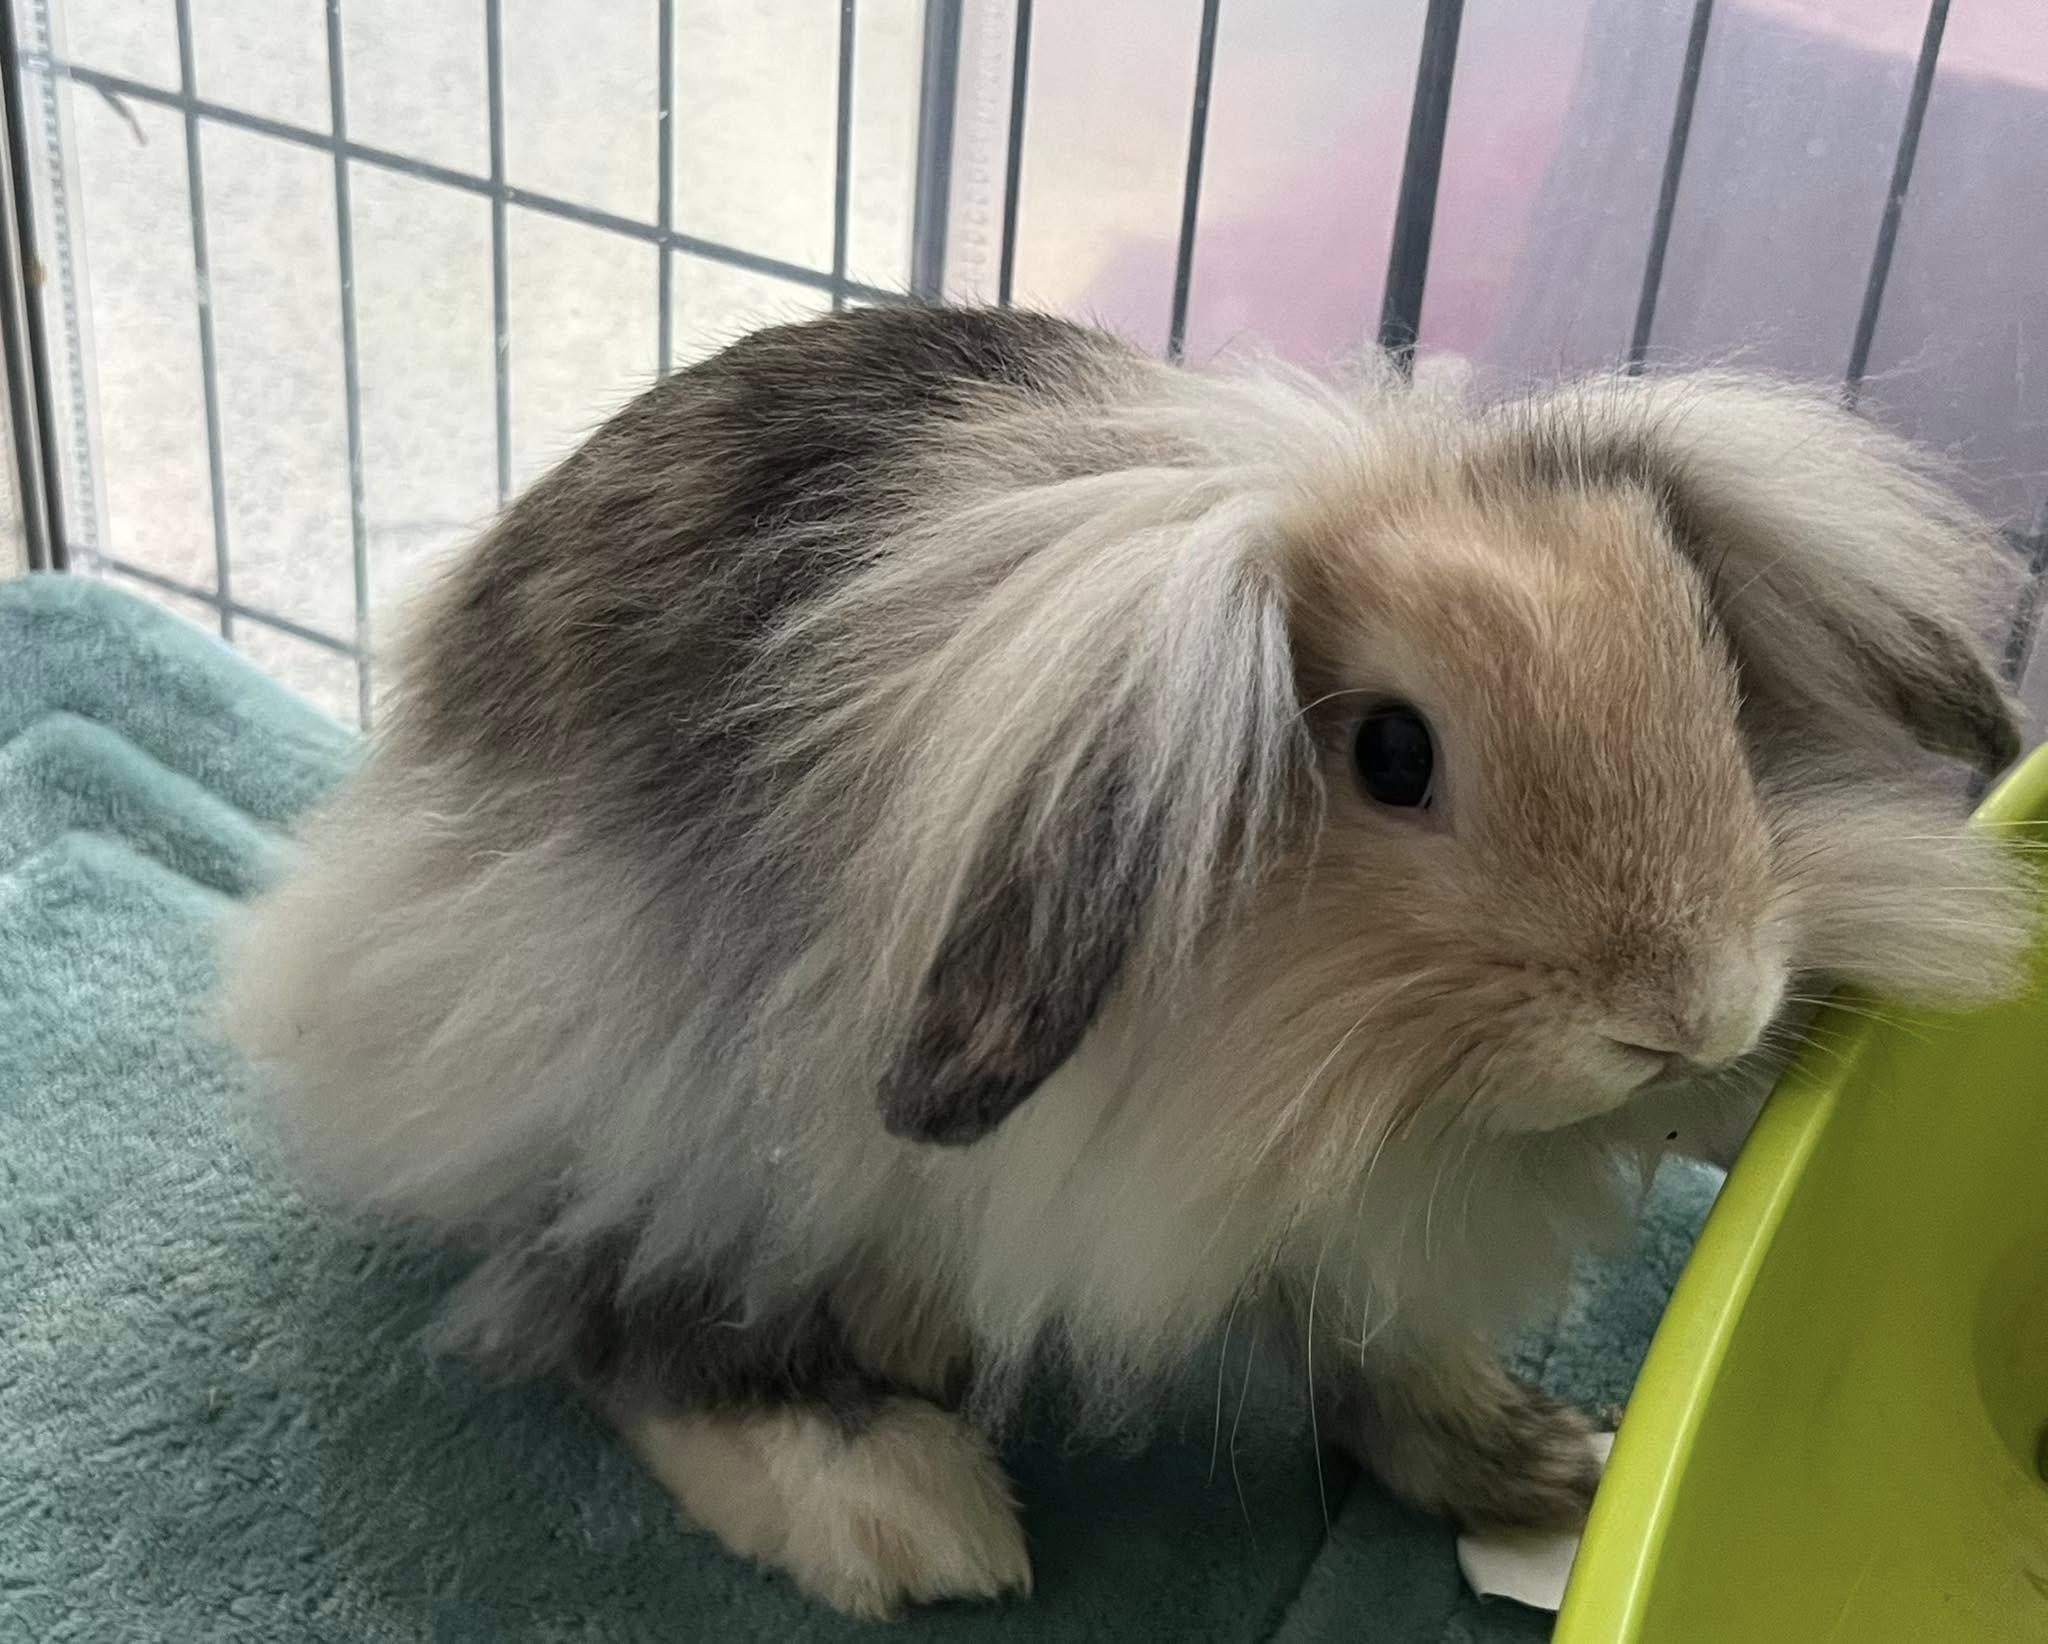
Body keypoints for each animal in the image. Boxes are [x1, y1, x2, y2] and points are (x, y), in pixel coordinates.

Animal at [220, 305, 2035, 1619]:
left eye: (1704, 672)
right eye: (1391, 752)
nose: (1689, 1013)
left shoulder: (1344, 1215)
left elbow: (1384, 1350)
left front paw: (1543, 1459)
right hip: (653, 1103)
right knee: (616, 1315)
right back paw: (897, 1505)